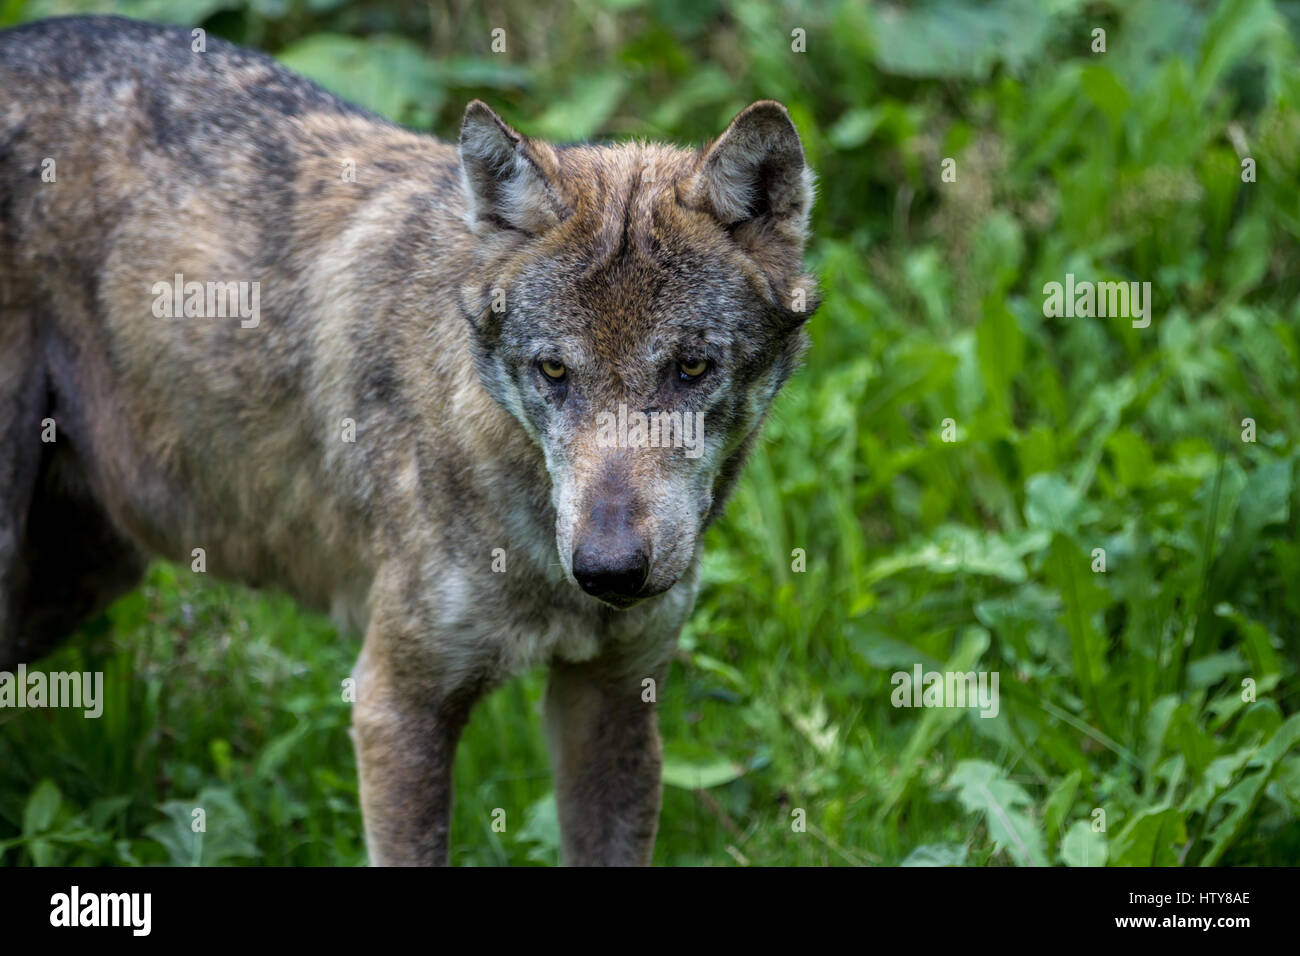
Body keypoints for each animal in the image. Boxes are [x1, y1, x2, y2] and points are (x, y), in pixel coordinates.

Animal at [0, 15, 818, 865]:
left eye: (691, 367)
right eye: (555, 370)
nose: (610, 570)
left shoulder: (614, 698)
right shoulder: (396, 703)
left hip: (80, 577)